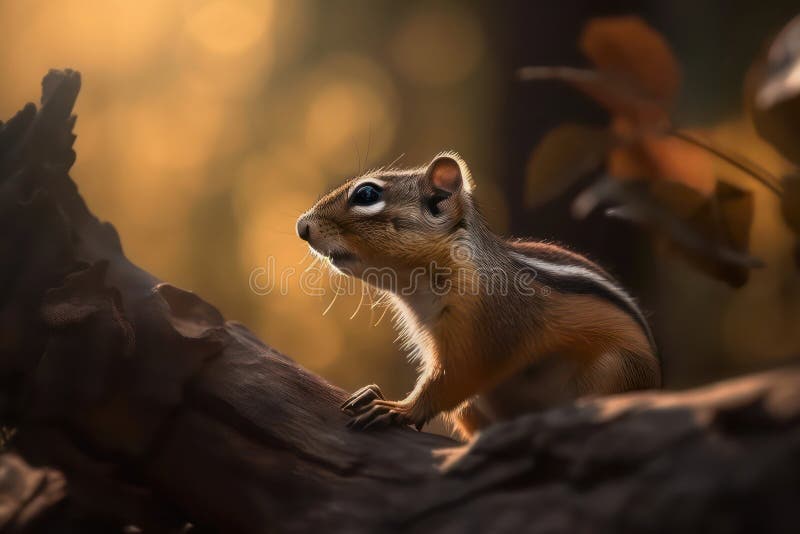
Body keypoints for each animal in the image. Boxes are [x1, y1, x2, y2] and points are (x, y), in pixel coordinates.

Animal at [296, 152, 660, 438]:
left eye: (367, 194)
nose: (302, 226)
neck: (416, 287)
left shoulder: (486, 324)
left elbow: (458, 374)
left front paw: (399, 408)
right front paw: (373, 392)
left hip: (615, 372)